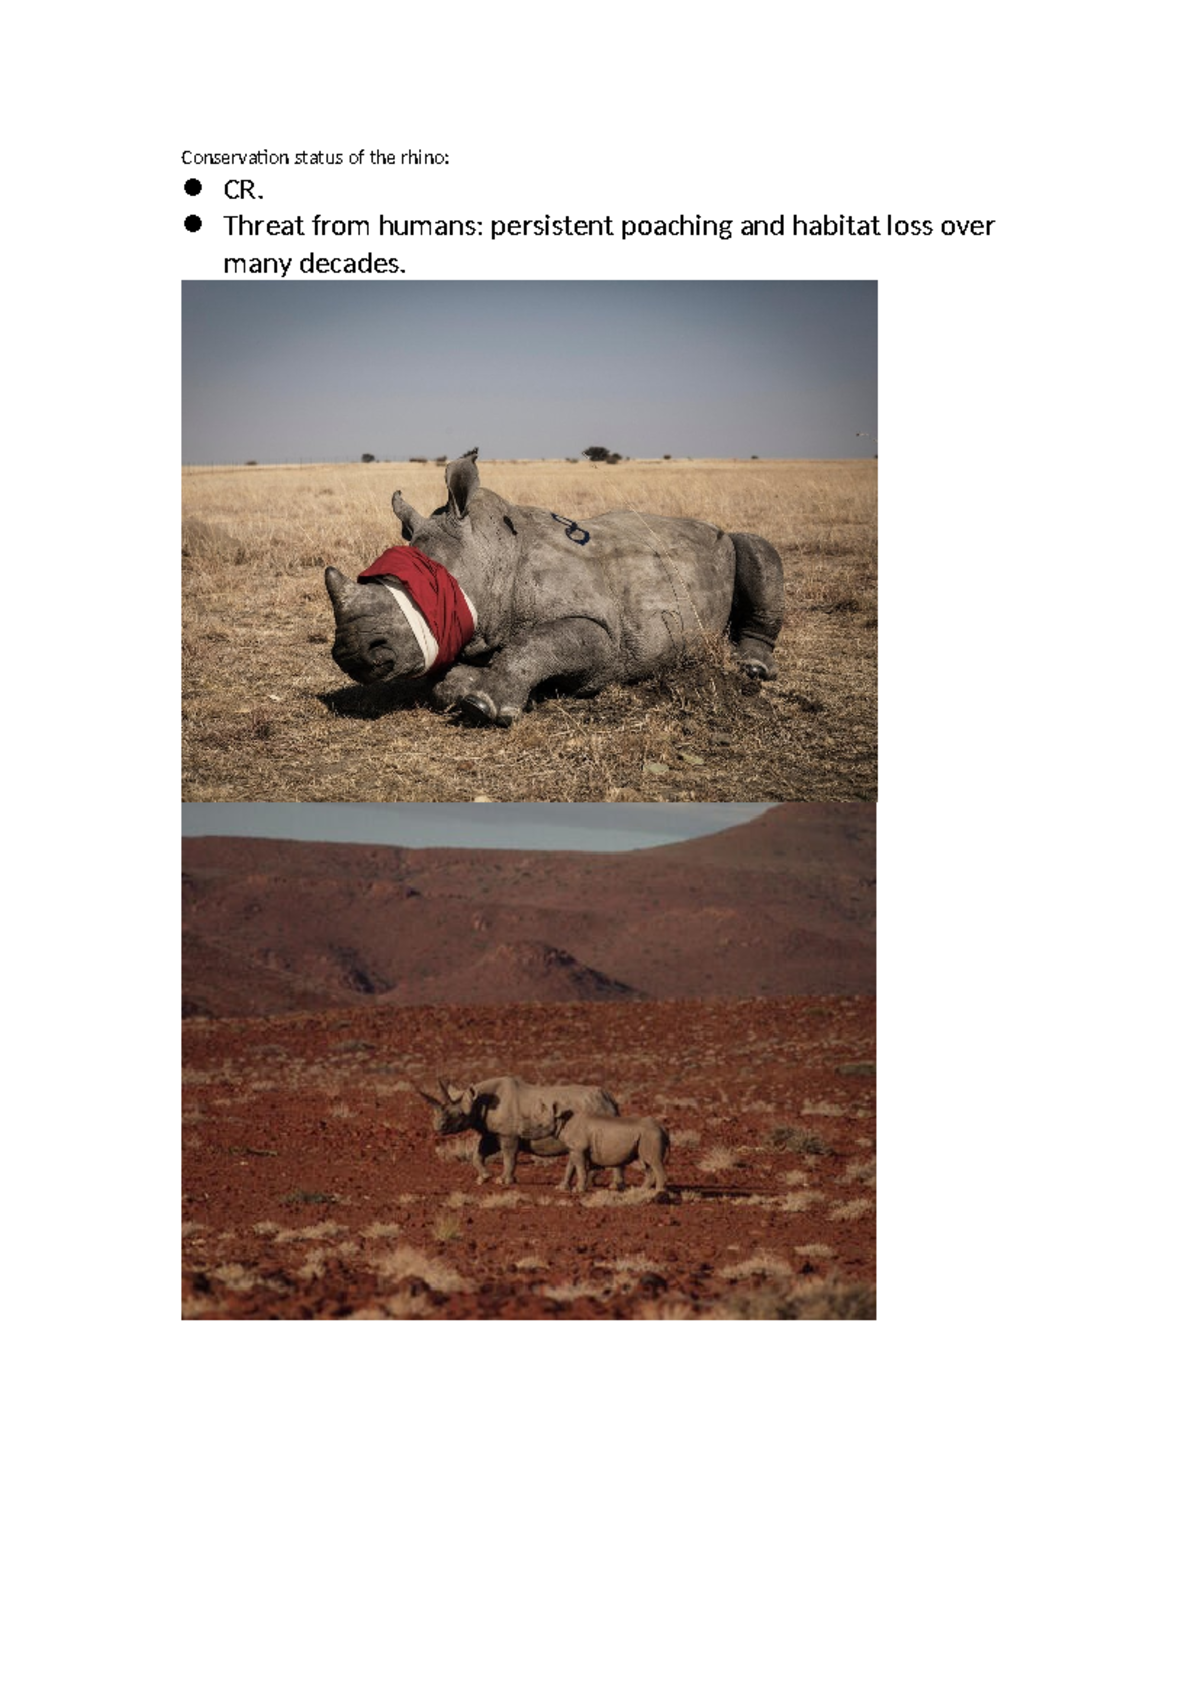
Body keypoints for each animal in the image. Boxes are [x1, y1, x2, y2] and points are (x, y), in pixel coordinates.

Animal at [325, 449, 784, 725]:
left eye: (424, 589)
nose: (351, 654)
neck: (493, 555)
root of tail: (708, 524)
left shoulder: (604, 635)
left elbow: (538, 643)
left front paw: (483, 705)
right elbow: (445, 682)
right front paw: (468, 688)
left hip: (729, 542)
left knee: (756, 549)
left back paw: (752, 668)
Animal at [418, 1076, 619, 1186]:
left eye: (458, 1115)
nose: (437, 1127)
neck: (477, 1101)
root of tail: (610, 1098)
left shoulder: (509, 1134)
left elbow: (509, 1156)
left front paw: (504, 1181)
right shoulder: (492, 1133)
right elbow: (478, 1153)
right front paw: (484, 1178)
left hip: (597, 1111)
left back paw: (605, 1185)